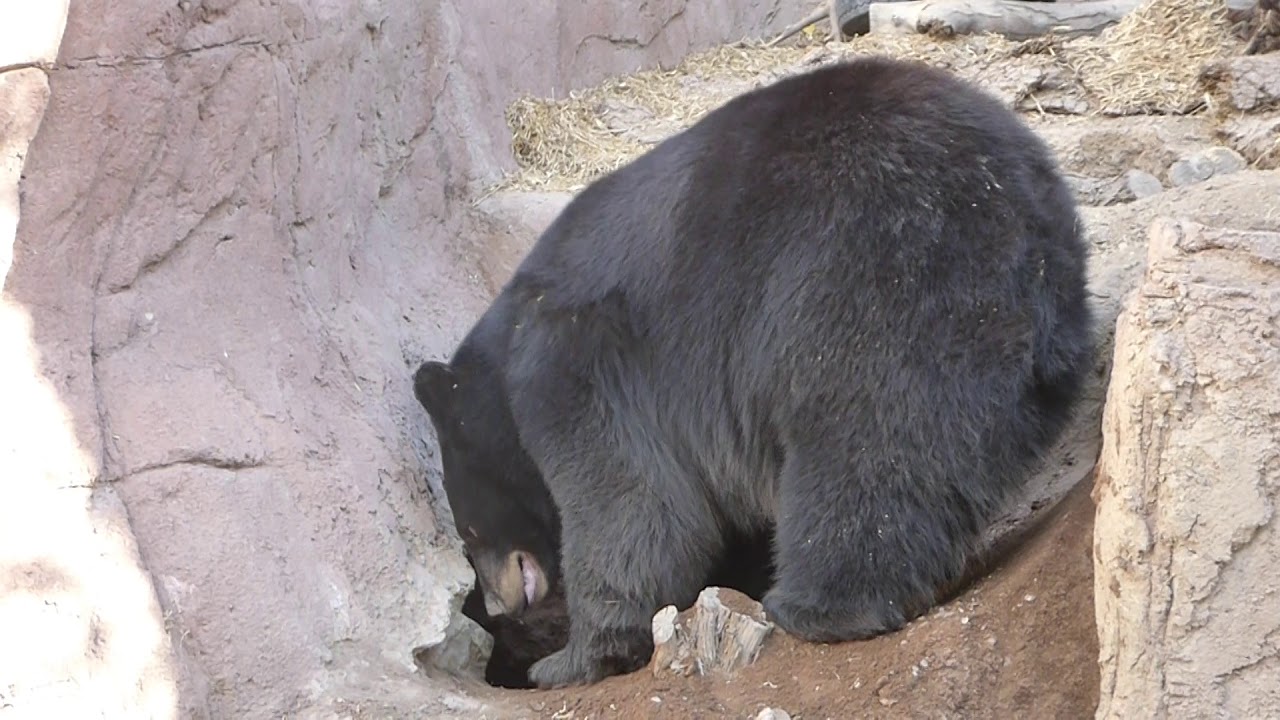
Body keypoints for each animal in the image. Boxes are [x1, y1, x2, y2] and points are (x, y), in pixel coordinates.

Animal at [413, 55, 1094, 689]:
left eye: (468, 528)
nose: (497, 604)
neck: (511, 342)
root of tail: (1019, 224)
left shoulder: (576, 357)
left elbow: (634, 503)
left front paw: (565, 661)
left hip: (865, 277)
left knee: (868, 441)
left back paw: (819, 605)